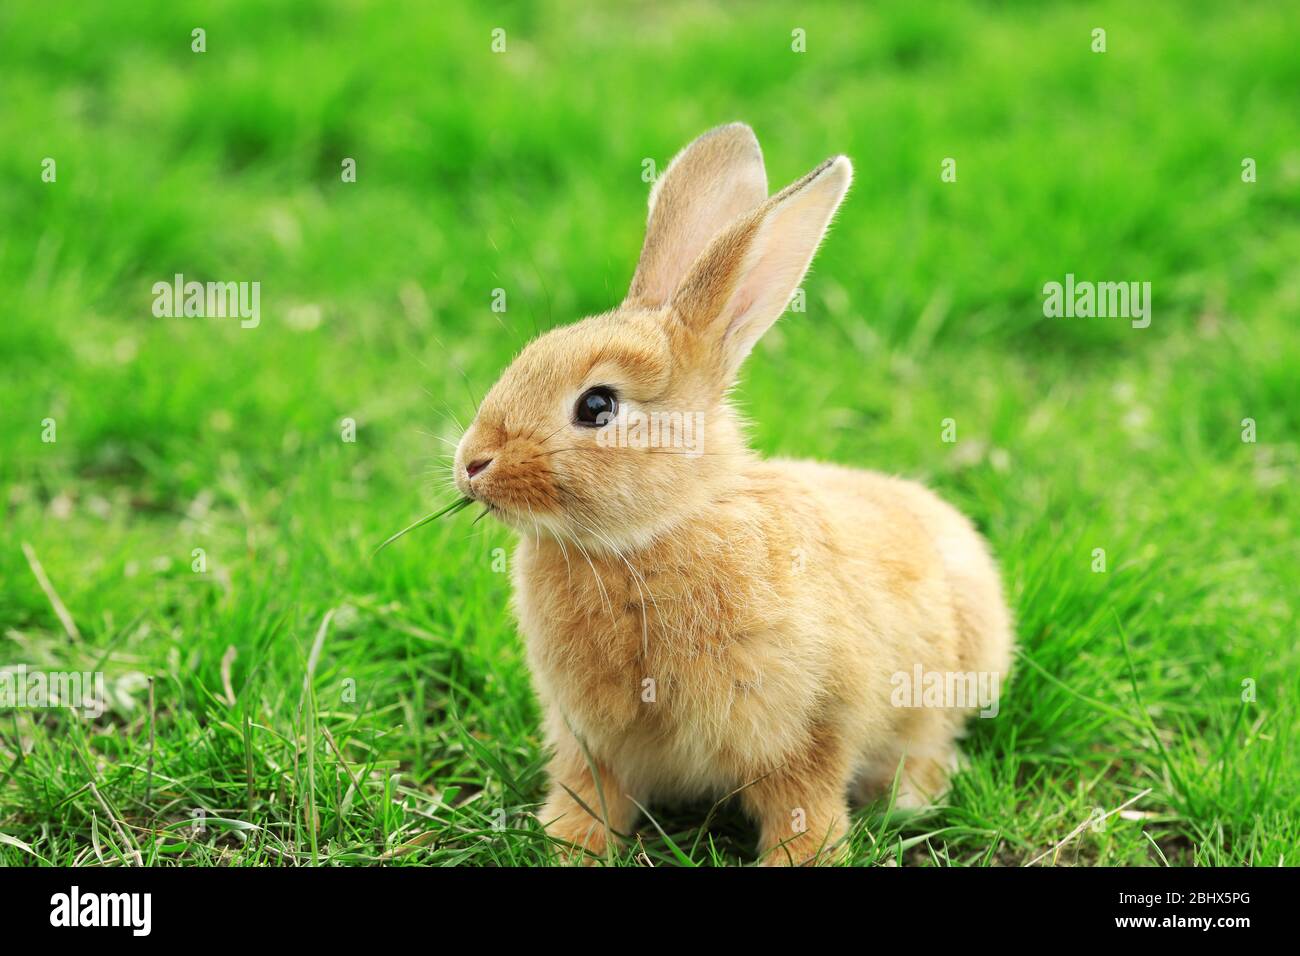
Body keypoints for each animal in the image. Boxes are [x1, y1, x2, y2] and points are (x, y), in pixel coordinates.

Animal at [453, 123, 1014, 865]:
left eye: (597, 406)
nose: (471, 463)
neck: (653, 533)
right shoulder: (591, 742)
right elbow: (589, 792)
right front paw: (568, 844)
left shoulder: (810, 724)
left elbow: (805, 803)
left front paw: (802, 860)